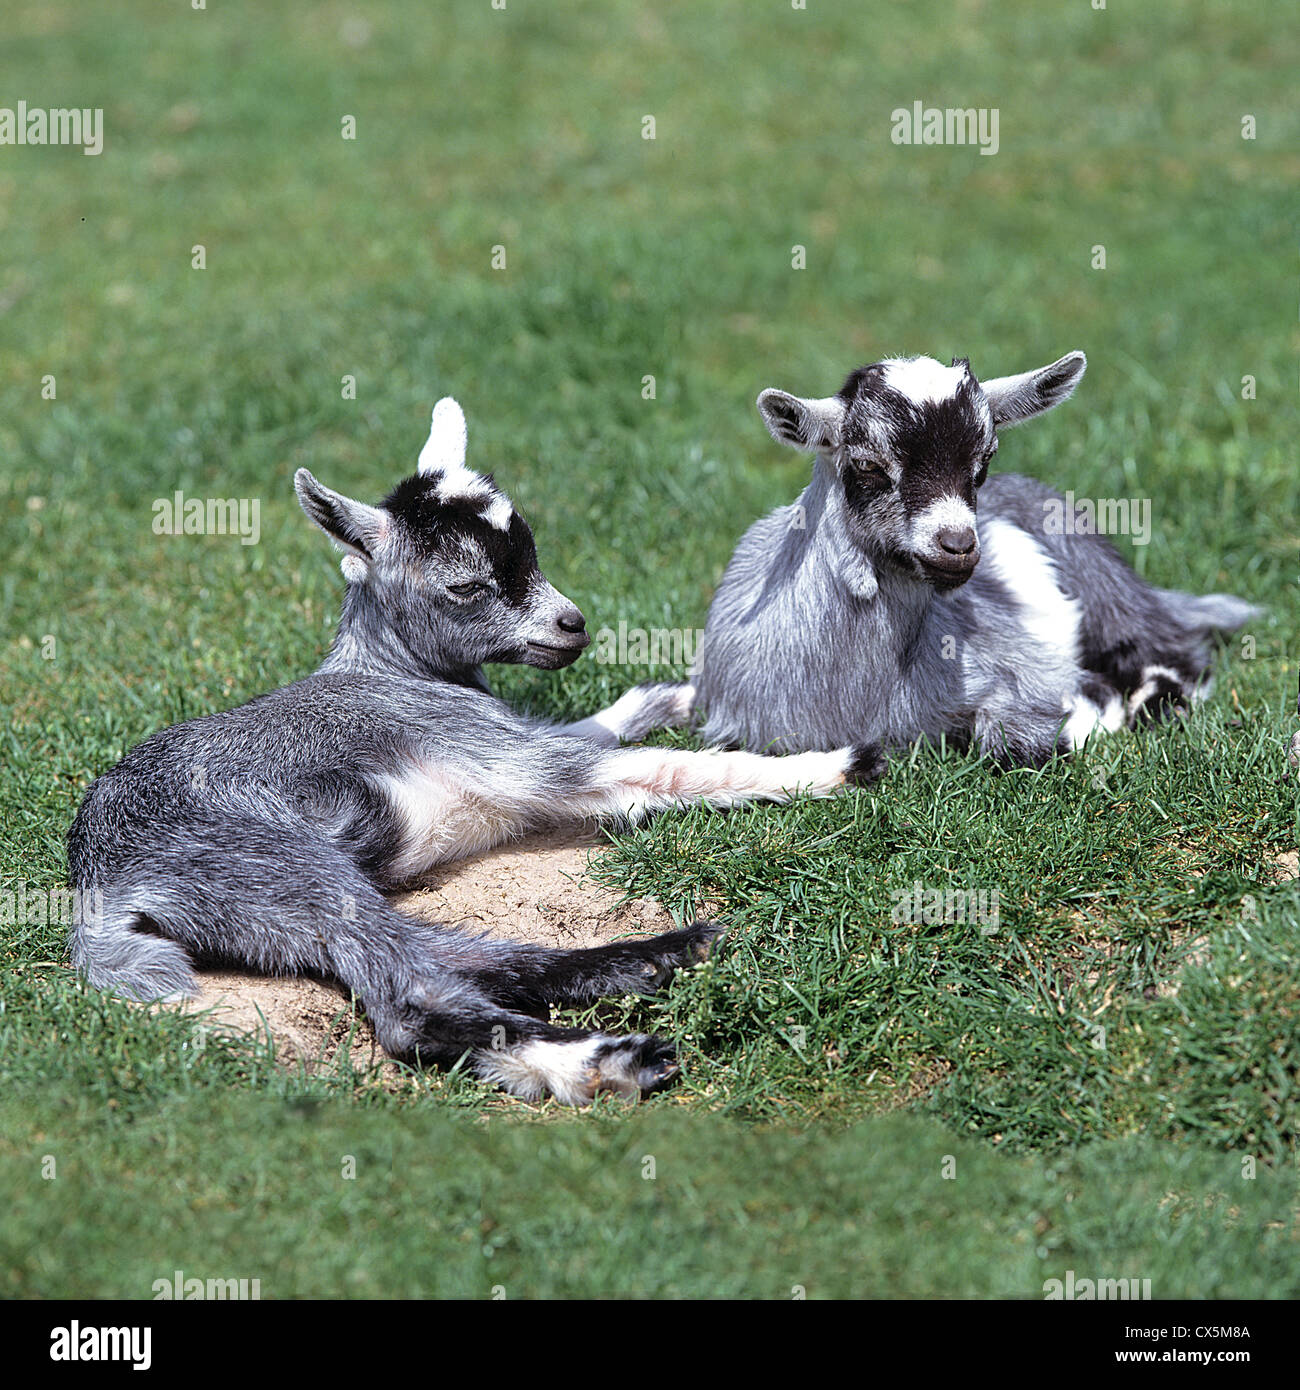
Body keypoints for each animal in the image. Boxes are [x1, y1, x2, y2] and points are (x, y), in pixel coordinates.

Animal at [67, 398, 877, 1104]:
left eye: (533, 546)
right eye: (465, 584)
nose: (572, 625)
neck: (390, 670)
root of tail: (98, 887)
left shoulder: (509, 734)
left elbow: (598, 728)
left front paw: (673, 696)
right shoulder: (493, 750)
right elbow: (656, 769)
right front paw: (837, 766)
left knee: (456, 951)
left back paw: (658, 957)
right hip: (272, 861)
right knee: (410, 994)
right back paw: (609, 1057)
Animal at [576, 352, 1257, 766]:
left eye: (983, 462)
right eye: (867, 465)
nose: (958, 545)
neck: (861, 703)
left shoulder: (1021, 667)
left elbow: (1011, 739)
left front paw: (1080, 715)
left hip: (1105, 586)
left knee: (1175, 653)